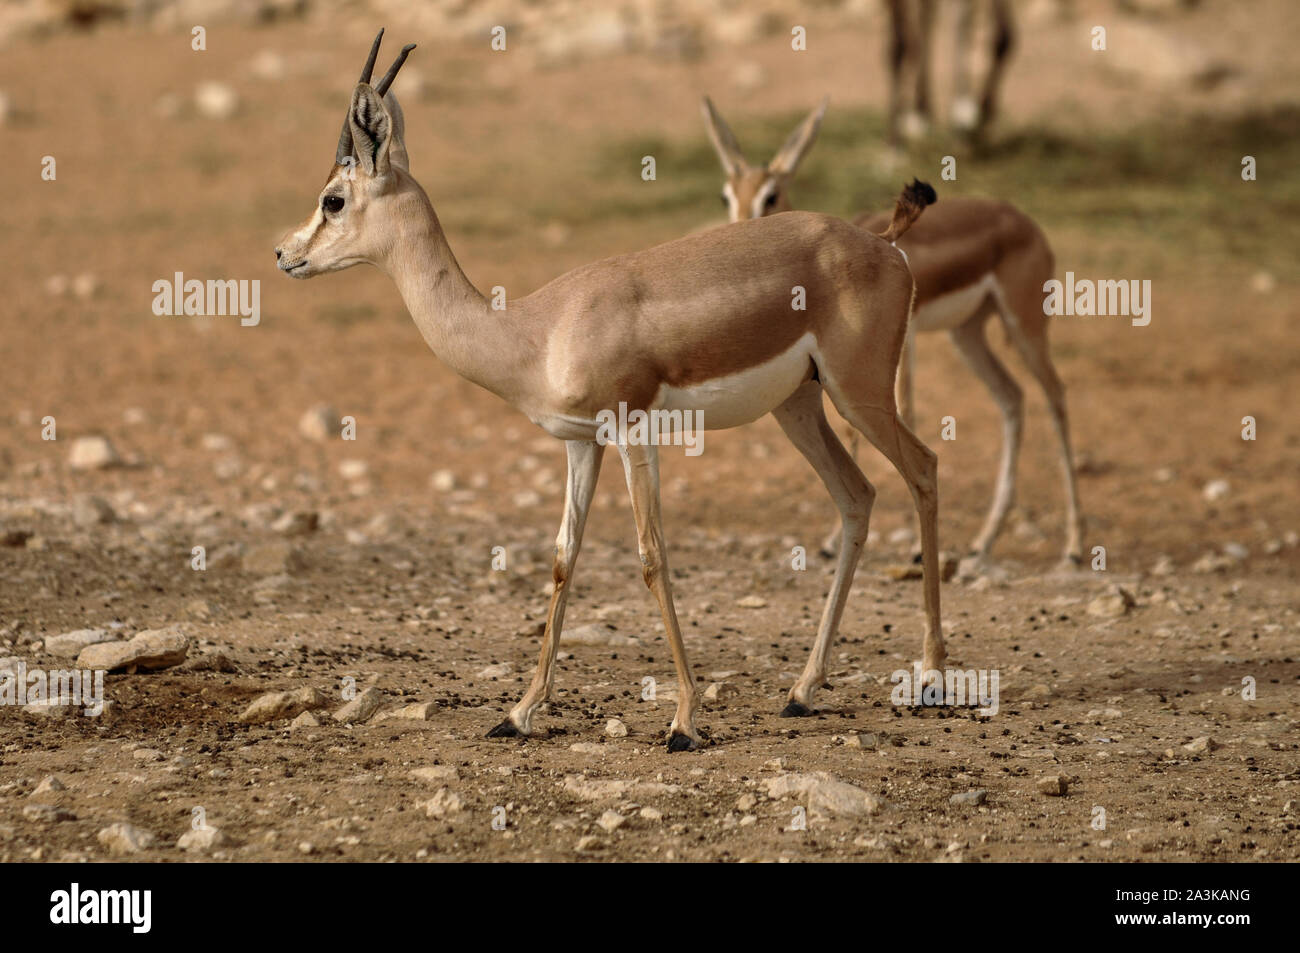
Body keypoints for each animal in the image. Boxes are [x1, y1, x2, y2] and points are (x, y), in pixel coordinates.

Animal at [276, 31, 946, 751]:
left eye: (333, 199)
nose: (284, 254)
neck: (535, 330)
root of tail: (884, 243)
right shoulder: (581, 445)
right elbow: (563, 558)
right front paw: (518, 712)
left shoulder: (632, 431)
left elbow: (652, 555)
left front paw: (683, 720)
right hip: (798, 407)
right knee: (857, 496)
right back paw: (801, 691)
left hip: (860, 392)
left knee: (924, 469)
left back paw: (932, 677)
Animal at [702, 96, 1084, 572]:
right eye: (726, 195)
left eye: (770, 195)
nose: (736, 234)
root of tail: (1021, 217)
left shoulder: (904, 339)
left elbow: (903, 414)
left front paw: (900, 547)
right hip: (967, 333)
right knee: (1011, 396)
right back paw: (983, 542)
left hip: (1025, 324)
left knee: (1056, 395)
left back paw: (1074, 546)